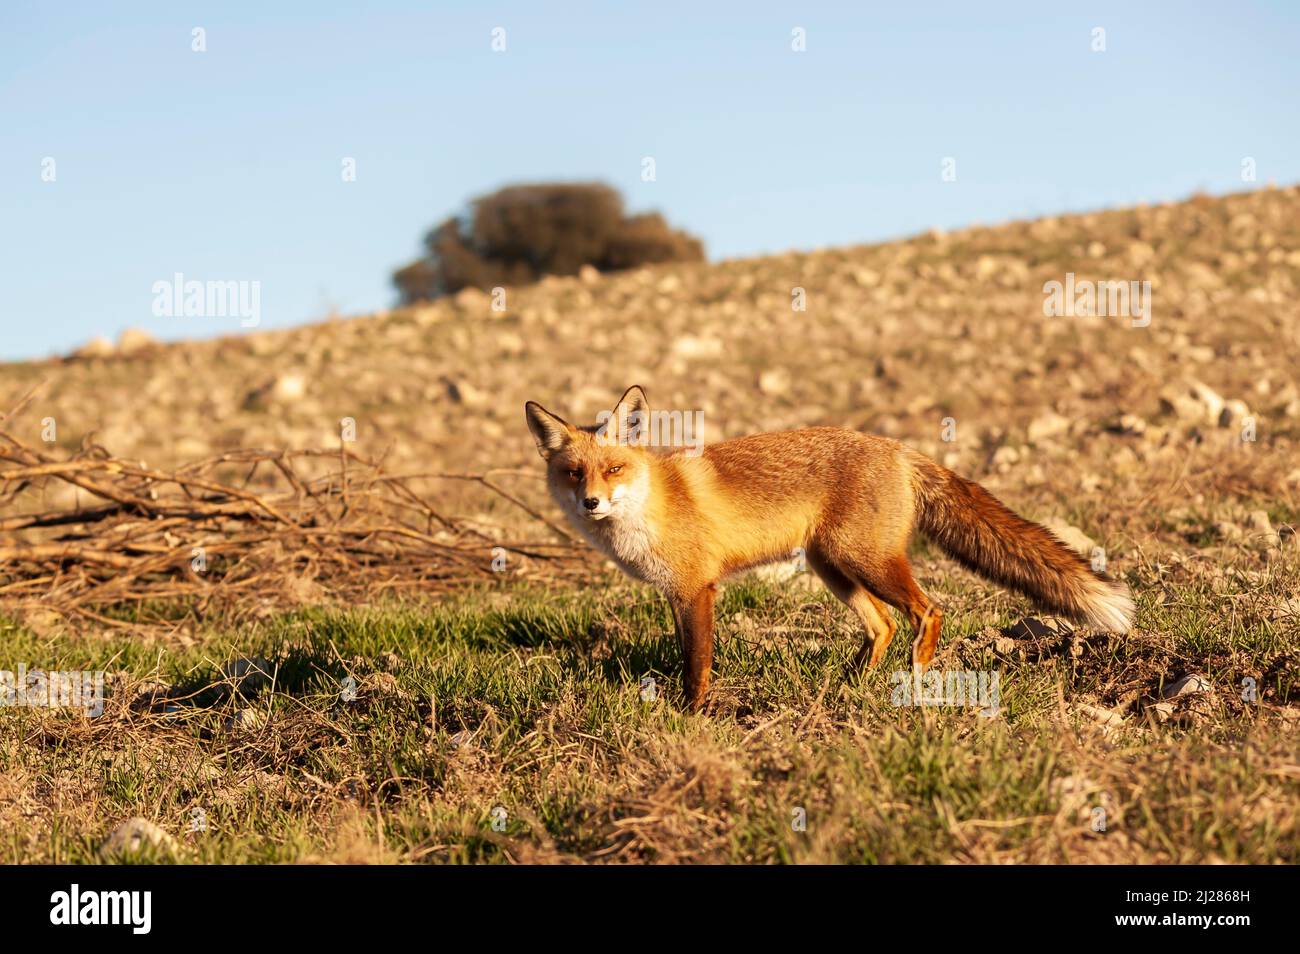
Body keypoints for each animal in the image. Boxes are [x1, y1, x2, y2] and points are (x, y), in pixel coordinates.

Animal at [525, 385, 1135, 711]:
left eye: (613, 469)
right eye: (573, 472)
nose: (591, 503)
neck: (649, 509)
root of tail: (896, 447)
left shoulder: (698, 589)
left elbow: (697, 664)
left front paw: (691, 716)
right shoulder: (677, 594)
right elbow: (684, 656)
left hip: (864, 561)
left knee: (929, 610)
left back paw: (914, 677)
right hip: (832, 566)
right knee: (881, 625)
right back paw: (850, 686)